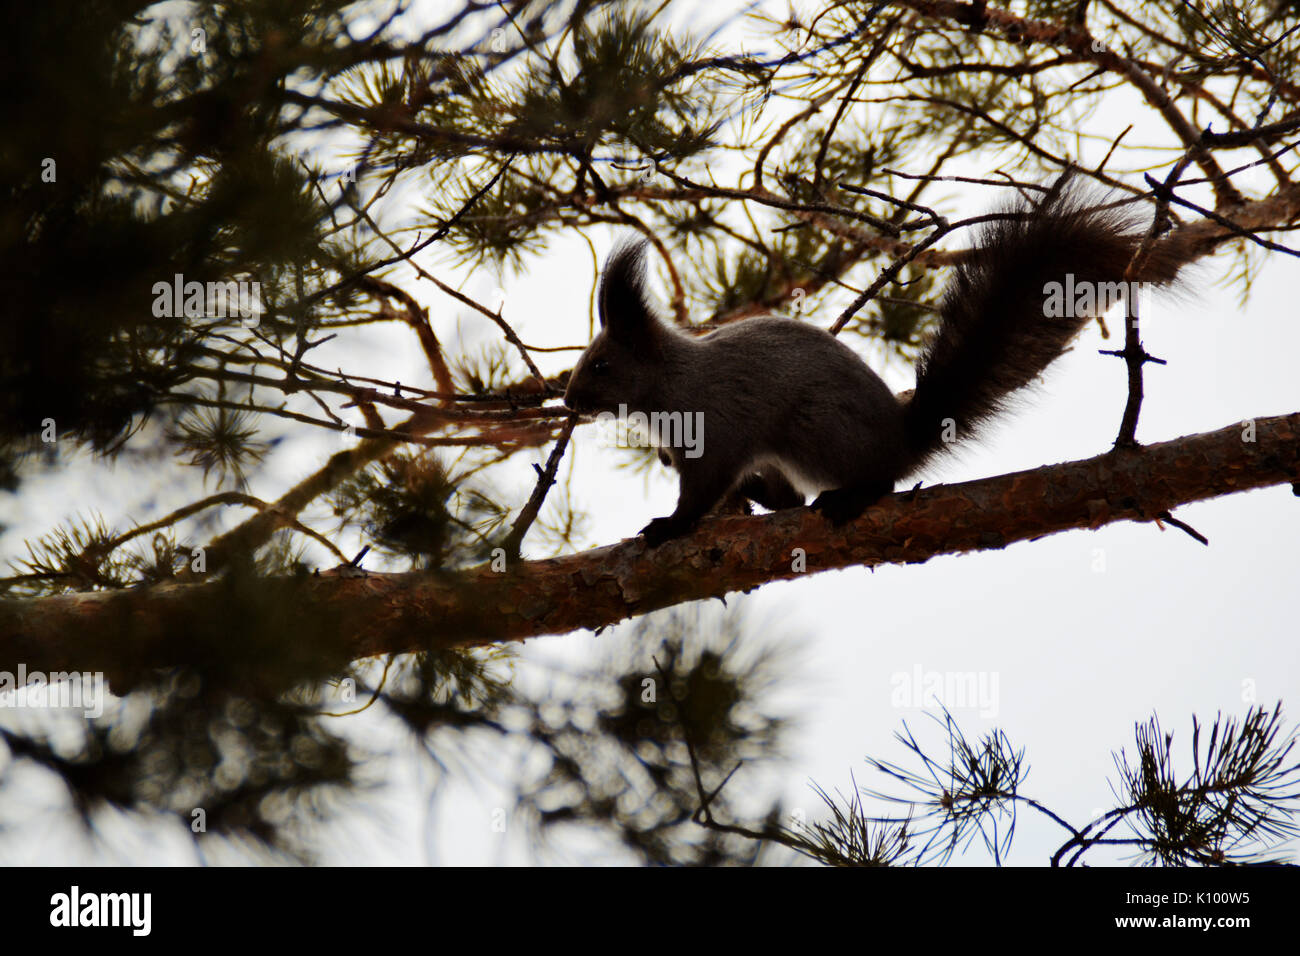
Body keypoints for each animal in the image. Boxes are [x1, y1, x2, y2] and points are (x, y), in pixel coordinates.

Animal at [563, 178, 1191, 547]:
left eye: (600, 366)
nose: (568, 401)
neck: (672, 384)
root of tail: (901, 440)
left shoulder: (716, 430)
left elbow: (701, 491)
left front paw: (671, 526)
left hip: (816, 428)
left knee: (879, 481)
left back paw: (850, 496)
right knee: (792, 496)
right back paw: (772, 495)